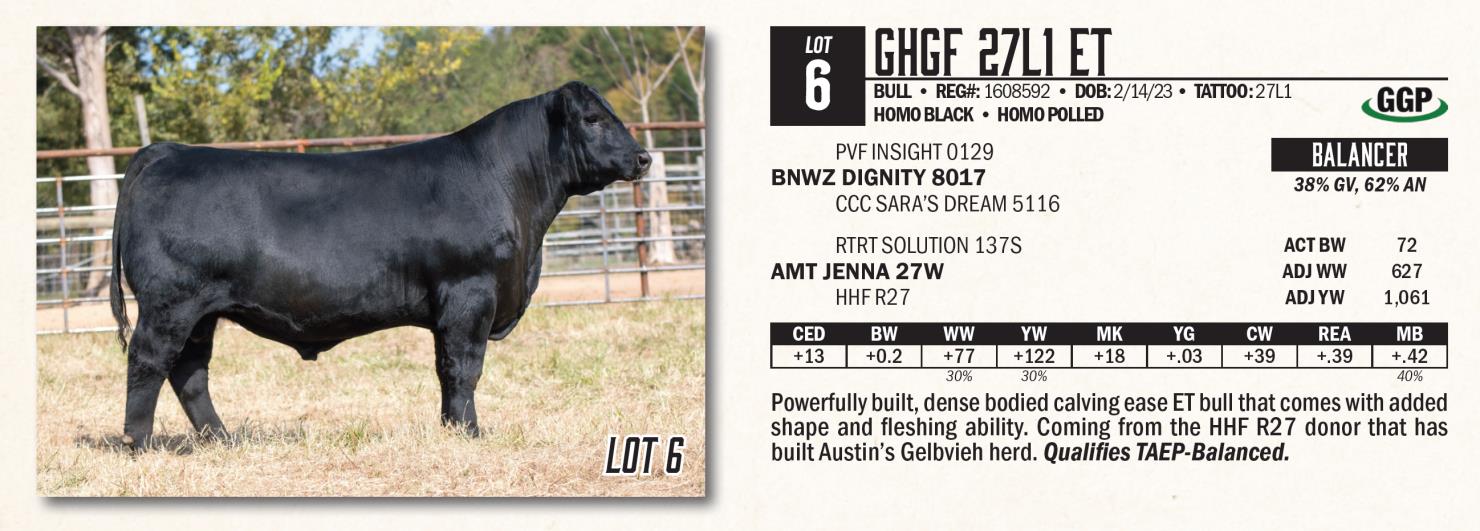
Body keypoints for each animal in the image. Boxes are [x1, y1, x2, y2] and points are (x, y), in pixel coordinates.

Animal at [108, 81, 651, 450]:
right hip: (171, 302)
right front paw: (469, 433)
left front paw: (451, 428)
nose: (644, 157)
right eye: (593, 119)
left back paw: (222, 439)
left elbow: (445, 370)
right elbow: (463, 368)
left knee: (190, 373)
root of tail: (166, 151)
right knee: (149, 361)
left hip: (201, 312)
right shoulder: (470, 291)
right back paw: (138, 442)